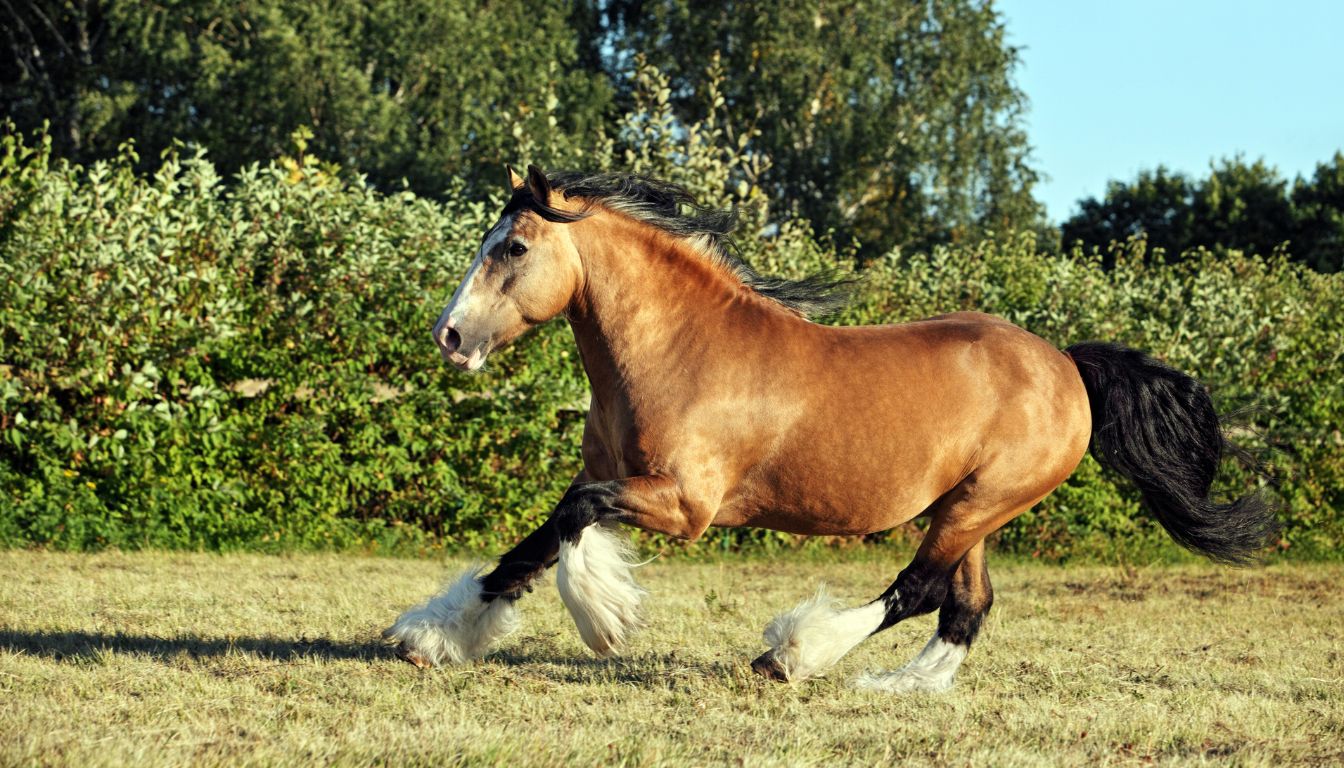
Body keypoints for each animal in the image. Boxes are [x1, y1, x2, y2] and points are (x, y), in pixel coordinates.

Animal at [383, 165, 1276, 692]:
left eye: (513, 247)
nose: (449, 336)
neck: (679, 349)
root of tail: (1065, 363)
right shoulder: (611, 475)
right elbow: (534, 544)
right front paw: (429, 637)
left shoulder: (685, 505)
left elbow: (573, 526)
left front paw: (602, 618)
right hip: (973, 509)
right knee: (966, 604)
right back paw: (900, 687)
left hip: (979, 503)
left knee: (918, 591)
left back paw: (792, 656)